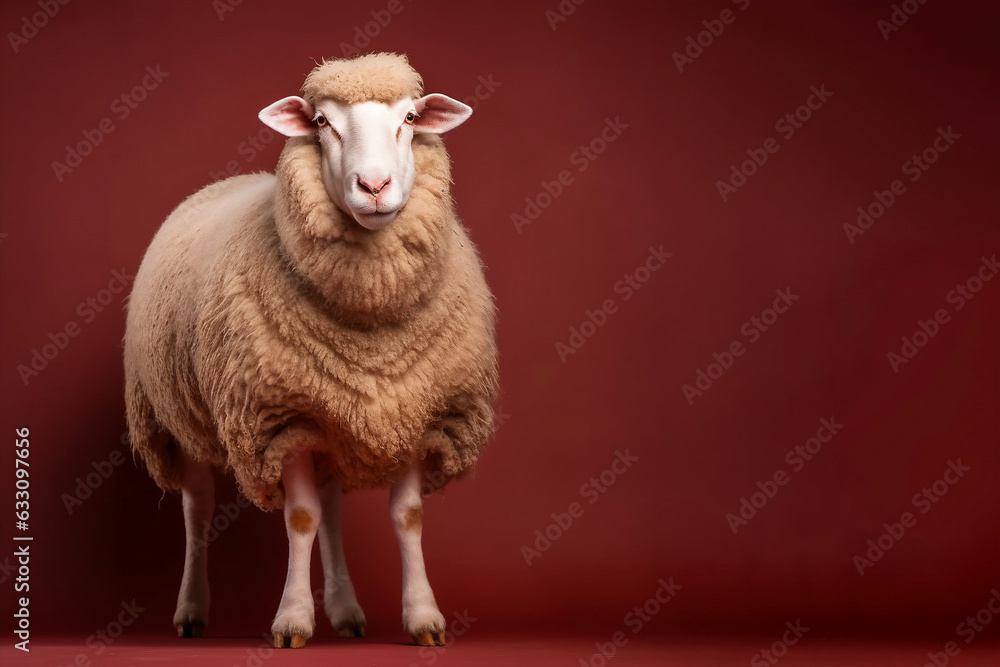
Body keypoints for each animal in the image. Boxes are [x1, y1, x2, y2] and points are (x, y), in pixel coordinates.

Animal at [123, 52, 498, 650]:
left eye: (411, 118)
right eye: (322, 123)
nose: (374, 185)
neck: (370, 322)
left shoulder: (416, 410)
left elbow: (408, 517)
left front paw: (424, 617)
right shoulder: (281, 418)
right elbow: (300, 519)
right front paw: (293, 620)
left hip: (332, 422)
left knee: (332, 507)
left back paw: (347, 612)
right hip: (176, 420)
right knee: (198, 508)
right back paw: (191, 611)